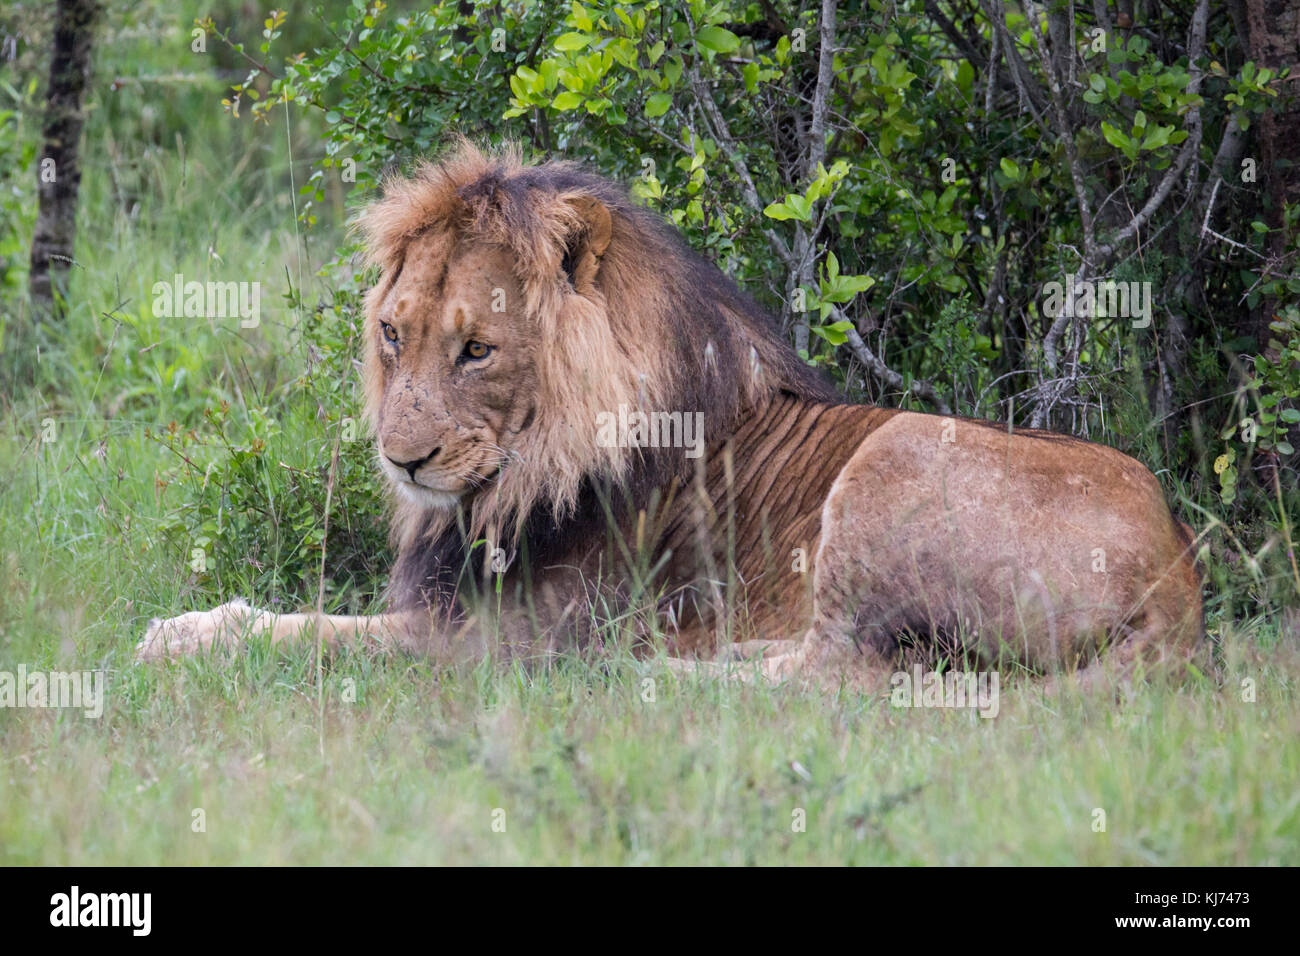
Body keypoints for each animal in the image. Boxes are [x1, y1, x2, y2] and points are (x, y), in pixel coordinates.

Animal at [136, 139, 1207, 691]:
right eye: (393, 335)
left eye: (477, 350)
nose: (402, 461)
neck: (527, 468)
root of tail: (1181, 583)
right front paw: (188, 623)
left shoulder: (495, 640)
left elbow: (314, 631)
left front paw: (179, 640)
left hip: (896, 454)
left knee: (840, 680)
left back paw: (663, 675)